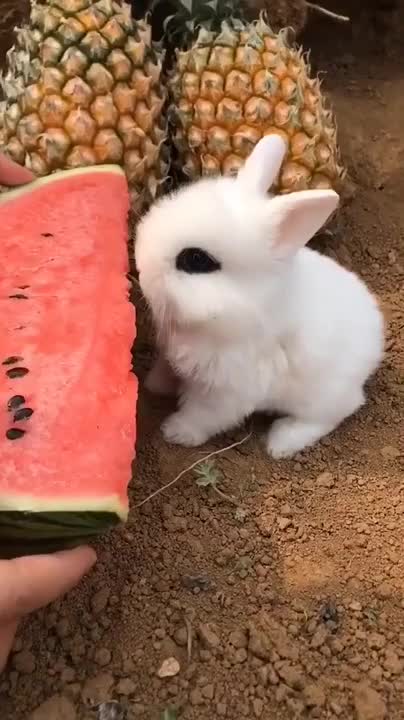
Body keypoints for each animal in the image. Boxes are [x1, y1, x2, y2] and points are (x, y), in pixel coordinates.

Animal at [135, 135, 384, 459]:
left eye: (196, 260)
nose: (141, 270)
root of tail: (376, 344)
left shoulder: (226, 392)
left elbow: (202, 416)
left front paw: (176, 432)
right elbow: (167, 370)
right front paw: (154, 384)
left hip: (320, 398)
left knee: (334, 414)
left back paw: (281, 443)